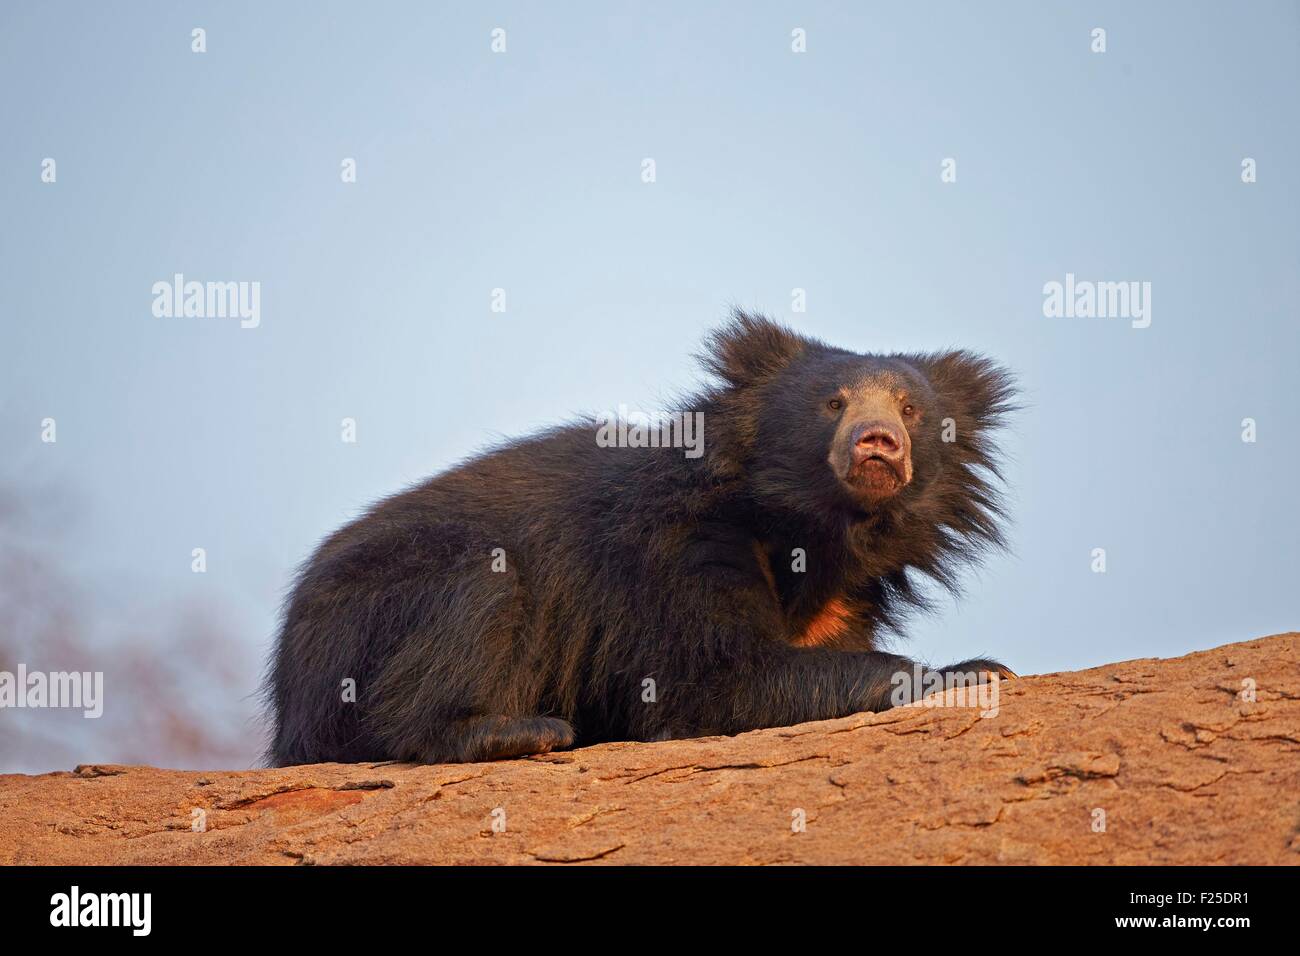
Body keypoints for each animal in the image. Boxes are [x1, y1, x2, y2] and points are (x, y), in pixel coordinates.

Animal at [265, 310, 1018, 766]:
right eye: (832, 404)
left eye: (911, 409)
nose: (878, 443)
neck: (811, 528)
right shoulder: (676, 551)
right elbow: (711, 683)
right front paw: (975, 670)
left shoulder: (845, 599)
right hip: (370, 614)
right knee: (475, 595)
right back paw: (515, 730)